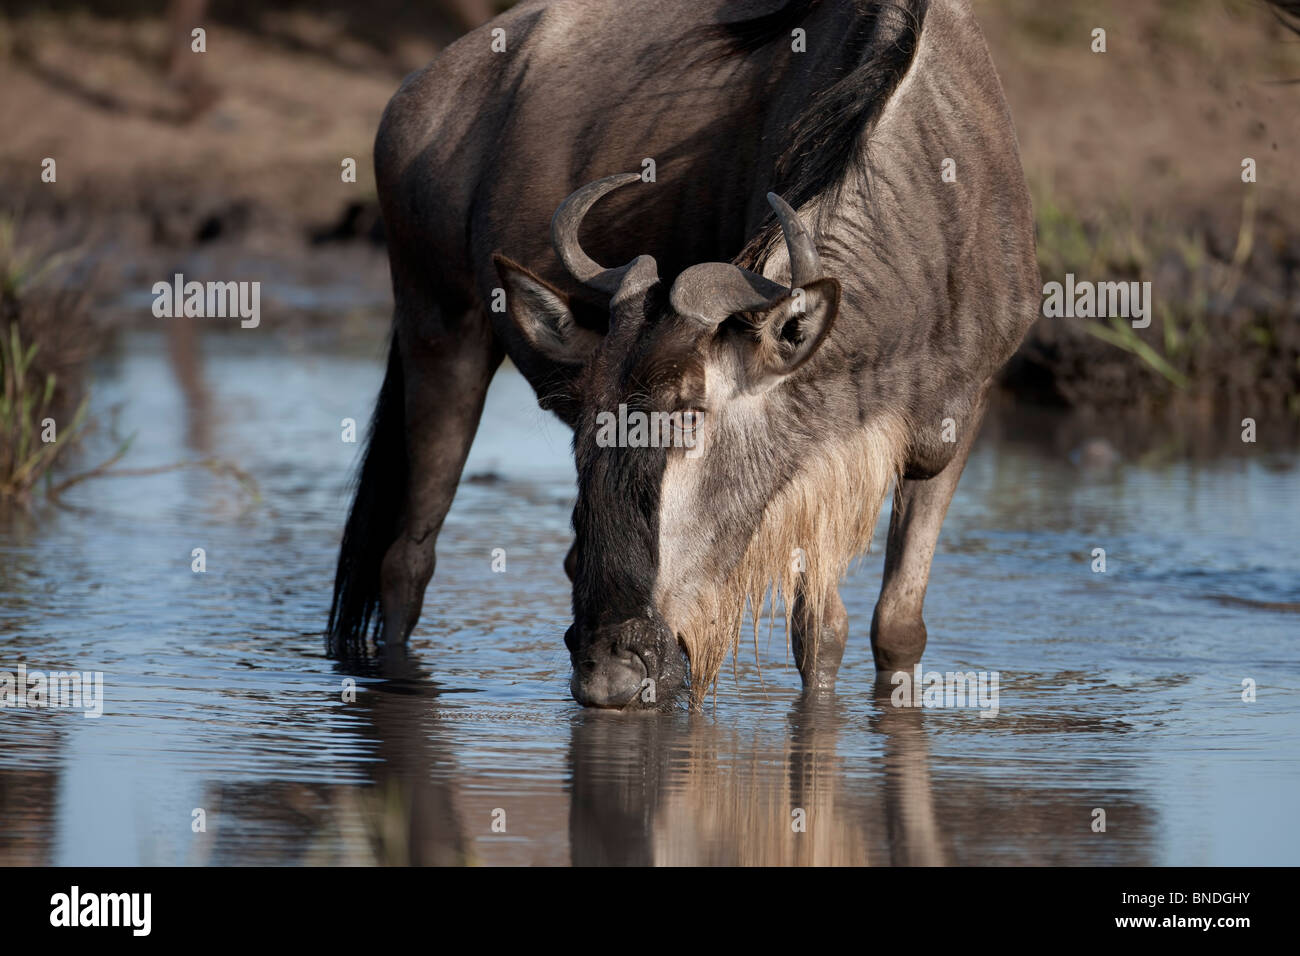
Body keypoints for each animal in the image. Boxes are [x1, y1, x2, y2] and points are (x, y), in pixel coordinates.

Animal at [327, 0, 1042, 709]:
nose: (611, 672)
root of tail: (415, 96)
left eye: (691, 415)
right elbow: (820, 634)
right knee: (407, 560)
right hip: (440, 335)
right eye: (587, 426)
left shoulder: (949, 428)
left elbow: (894, 627)